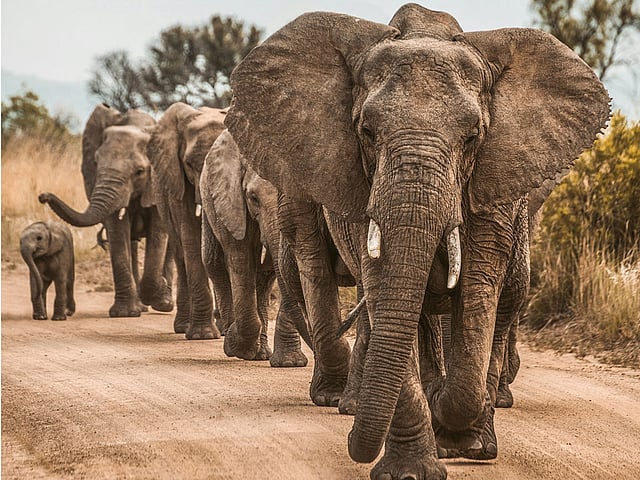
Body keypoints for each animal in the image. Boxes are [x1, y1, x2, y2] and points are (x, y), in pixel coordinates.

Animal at [39, 104, 173, 318]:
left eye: (140, 172)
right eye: (95, 163)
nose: (43, 196)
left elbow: (159, 233)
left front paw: (158, 289)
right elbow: (117, 231)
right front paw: (124, 313)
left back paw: (164, 303)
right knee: (131, 243)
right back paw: (141, 306)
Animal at [146, 102, 227, 340]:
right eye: (190, 164)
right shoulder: (176, 178)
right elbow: (190, 234)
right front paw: (203, 335)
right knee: (181, 254)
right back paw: (184, 326)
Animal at [200, 129, 311, 366]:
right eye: (253, 198)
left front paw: (290, 364)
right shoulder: (231, 201)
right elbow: (240, 260)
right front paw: (233, 345)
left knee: (265, 277)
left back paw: (259, 354)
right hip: (208, 201)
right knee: (214, 264)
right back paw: (231, 335)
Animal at [224, 4, 610, 479]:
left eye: (473, 137)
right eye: (366, 132)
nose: (351, 443)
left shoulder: (494, 183)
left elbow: (478, 296)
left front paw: (460, 435)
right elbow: (384, 291)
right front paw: (411, 468)